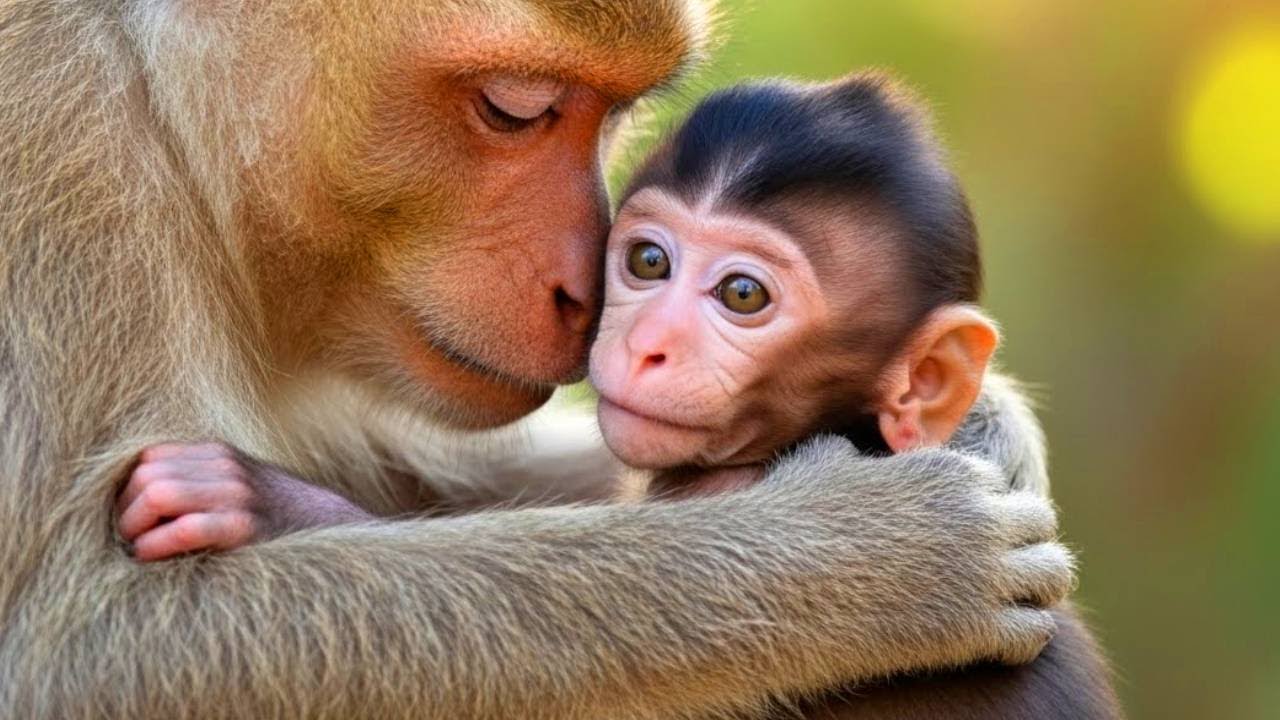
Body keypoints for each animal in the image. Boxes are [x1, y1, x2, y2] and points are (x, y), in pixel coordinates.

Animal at [0, 1, 1082, 718]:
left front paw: (983, 422)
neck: (150, 84)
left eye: (615, 107)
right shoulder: (63, 150)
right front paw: (870, 561)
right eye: (514, 107)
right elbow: (94, 650)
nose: (588, 290)